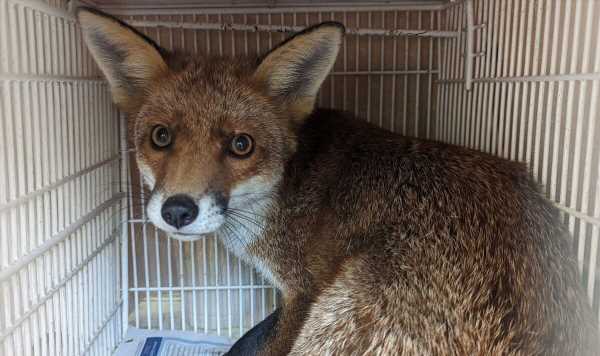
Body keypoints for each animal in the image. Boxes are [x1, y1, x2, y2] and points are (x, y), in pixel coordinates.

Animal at [77, 6, 596, 354]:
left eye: (241, 145)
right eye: (160, 137)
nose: (178, 210)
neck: (282, 192)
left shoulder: (303, 291)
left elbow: (269, 343)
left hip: (334, 313)